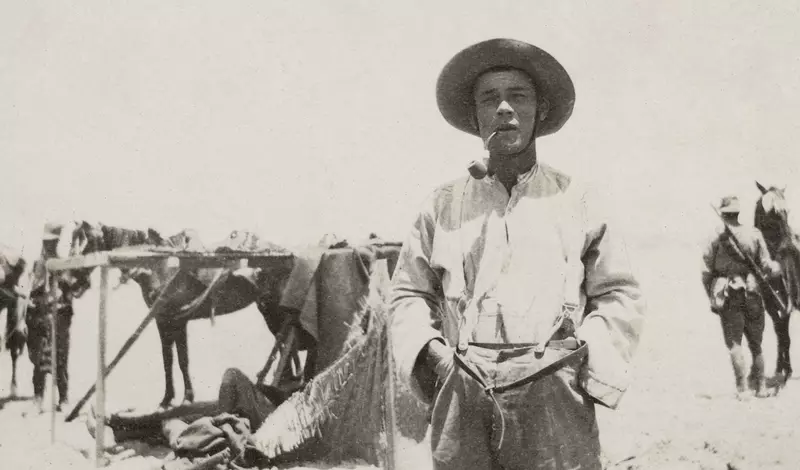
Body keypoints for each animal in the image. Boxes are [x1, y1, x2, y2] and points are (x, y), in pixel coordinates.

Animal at [67, 220, 310, 408]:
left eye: (85, 244)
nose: (69, 282)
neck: (159, 267)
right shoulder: (162, 321)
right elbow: (168, 359)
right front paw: (167, 399)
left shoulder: (177, 321)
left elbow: (182, 360)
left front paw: (185, 397)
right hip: (268, 310)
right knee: (285, 344)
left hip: (275, 311)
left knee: (287, 344)